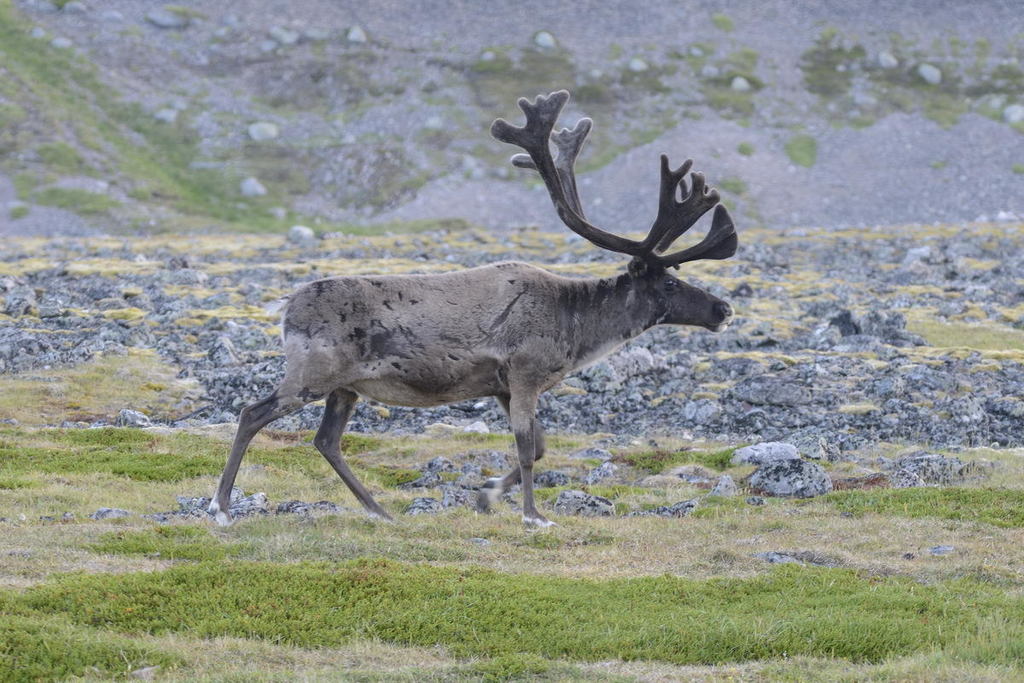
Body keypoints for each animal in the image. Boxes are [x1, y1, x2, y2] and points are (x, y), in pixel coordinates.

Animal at [209, 90, 738, 528]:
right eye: (668, 281)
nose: (723, 308)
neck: (574, 322)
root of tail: (286, 311)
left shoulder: (501, 386)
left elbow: (540, 447)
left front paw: (486, 495)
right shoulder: (524, 374)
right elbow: (525, 449)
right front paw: (532, 515)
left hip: (345, 388)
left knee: (326, 441)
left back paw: (379, 511)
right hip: (312, 375)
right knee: (252, 413)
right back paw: (221, 507)